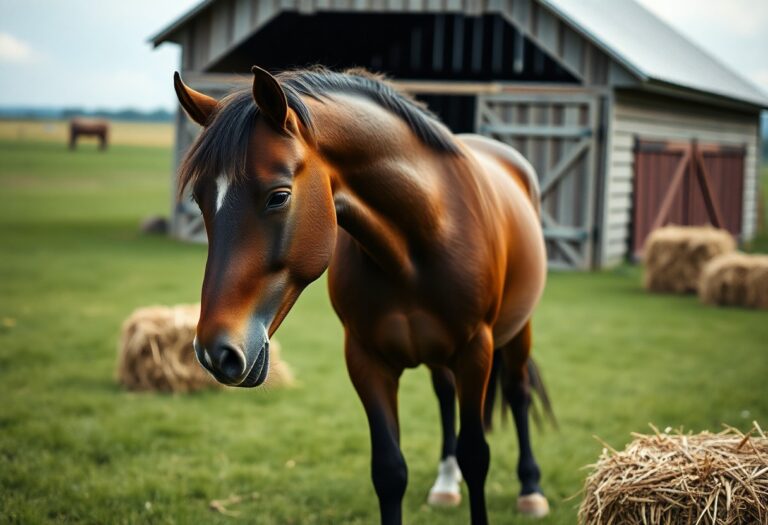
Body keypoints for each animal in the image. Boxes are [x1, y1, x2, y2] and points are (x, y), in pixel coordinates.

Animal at [173, 66, 550, 524]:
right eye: (200, 200)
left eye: (278, 196)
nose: (215, 352)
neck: (417, 243)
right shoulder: (366, 359)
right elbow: (389, 471)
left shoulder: (475, 351)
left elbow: (476, 456)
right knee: (445, 396)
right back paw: (445, 484)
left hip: (516, 333)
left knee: (517, 392)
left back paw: (530, 490)